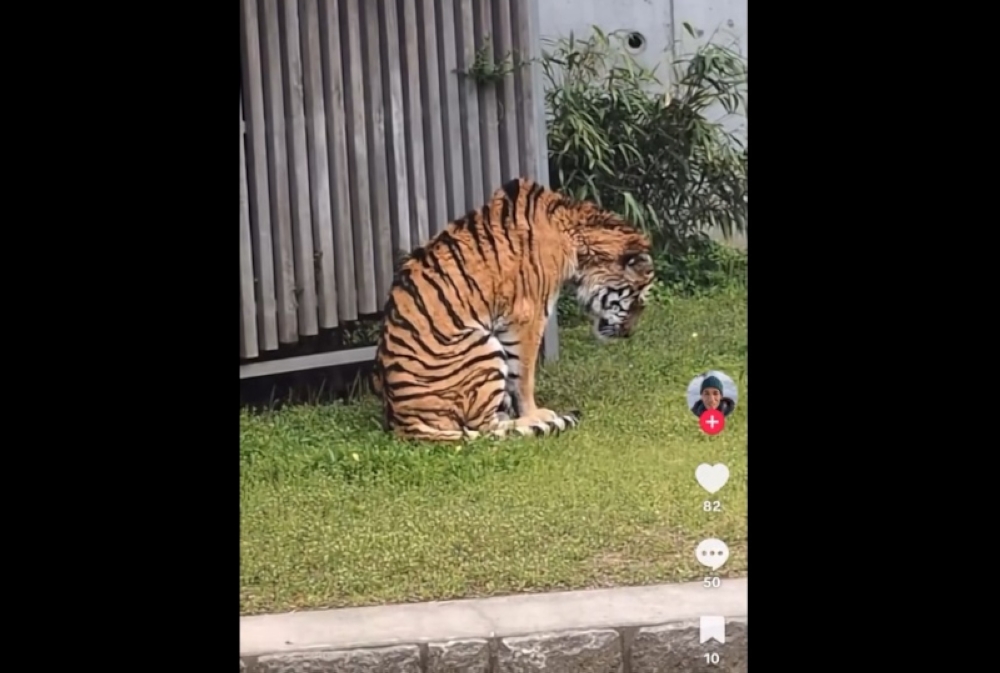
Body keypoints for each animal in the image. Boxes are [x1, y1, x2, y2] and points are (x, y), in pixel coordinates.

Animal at [371, 177, 655, 442]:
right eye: (638, 300)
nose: (629, 334)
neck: (573, 233)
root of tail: (403, 423)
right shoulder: (529, 317)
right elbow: (524, 375)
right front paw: (535, 412)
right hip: (481, 346)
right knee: (485, 427)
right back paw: (534, 421)